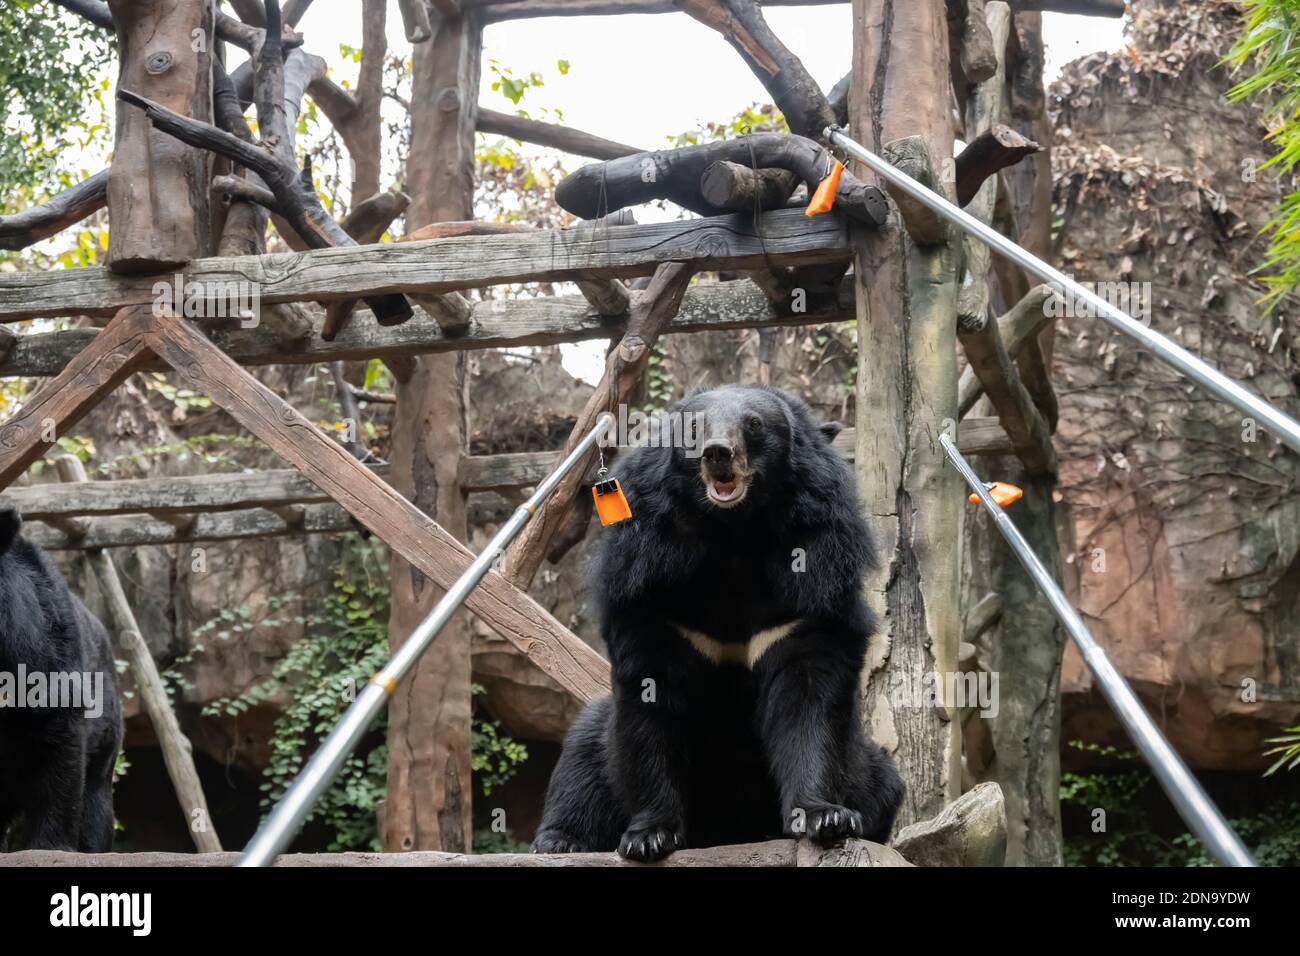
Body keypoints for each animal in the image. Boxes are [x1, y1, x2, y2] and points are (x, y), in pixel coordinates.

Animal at [532, 384, 903, 862]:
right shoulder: (648, 579)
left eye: (755, 424)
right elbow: (652, 693)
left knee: (885, 783)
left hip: (870, 765)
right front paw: (649, 836)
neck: (733, 533)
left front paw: (826, 817)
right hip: (595, 738)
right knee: (581, 756)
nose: (717, 453)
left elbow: (809, 697)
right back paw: (558, 841)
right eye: (694, 428)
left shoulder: (813, 580)